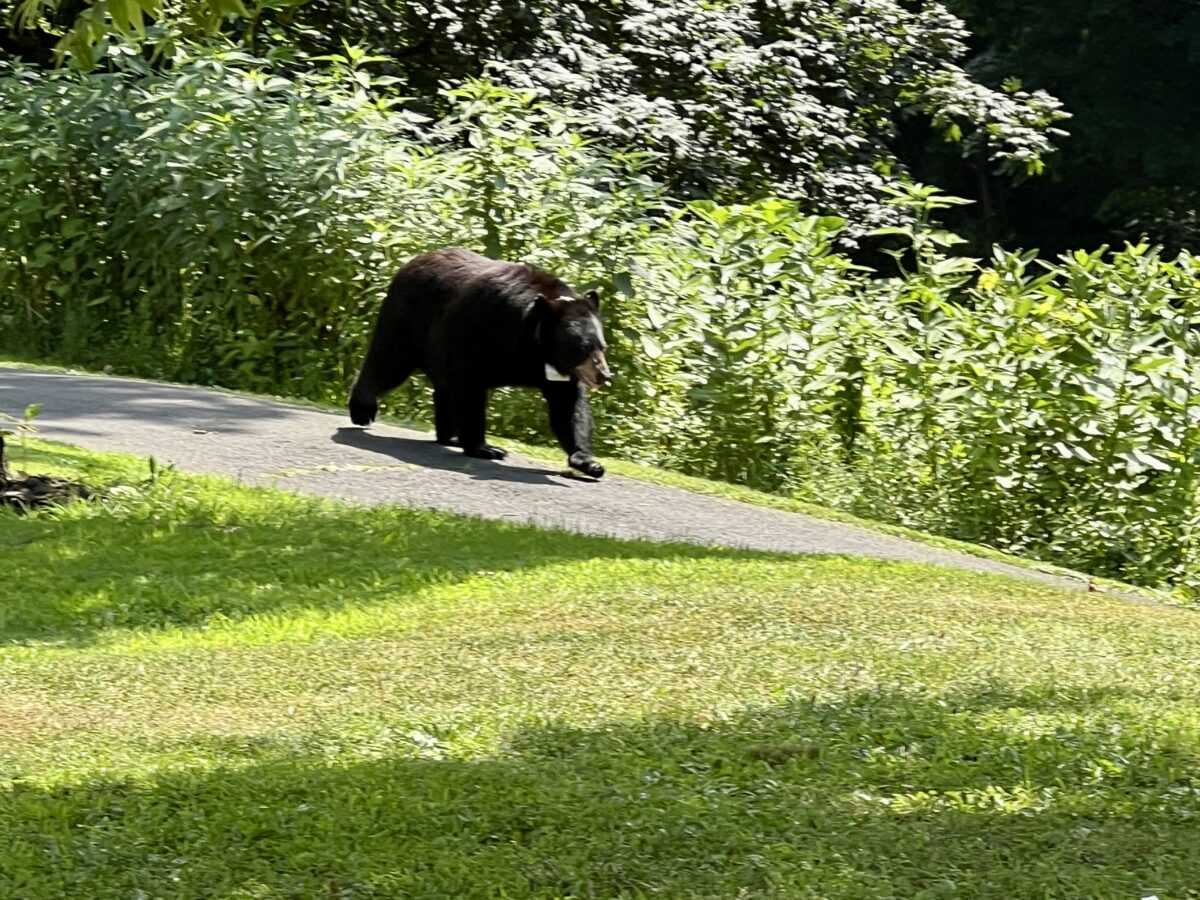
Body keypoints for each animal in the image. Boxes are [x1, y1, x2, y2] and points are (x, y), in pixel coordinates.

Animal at [348, 248, 612, 478]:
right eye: (582, 347)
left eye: (602, 346)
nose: (603, 375)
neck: (530, 342)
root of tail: (412, 261)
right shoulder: (479, 331)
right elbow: (469, 389)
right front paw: (486, 448)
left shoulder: (556, 370)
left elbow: (568, 407)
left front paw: (588, 462)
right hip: (407, 323)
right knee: (388, 362)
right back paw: (362, 409)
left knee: (442, 386)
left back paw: (450, 436)